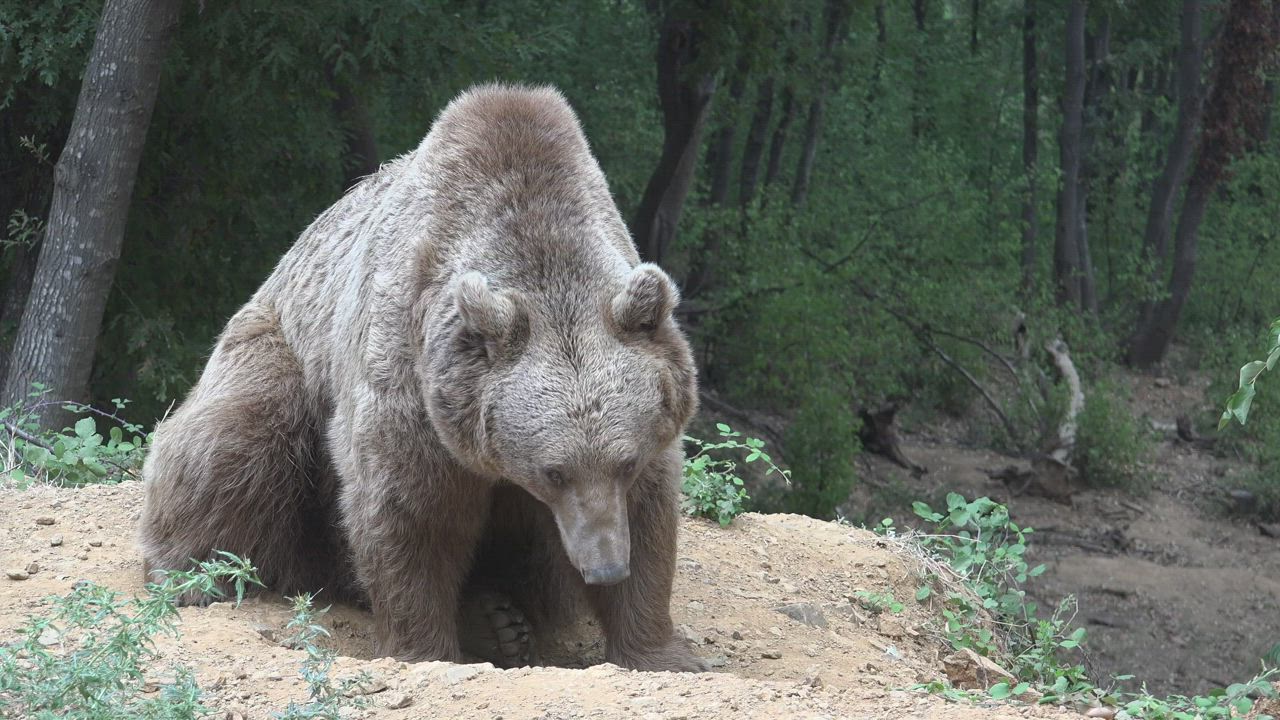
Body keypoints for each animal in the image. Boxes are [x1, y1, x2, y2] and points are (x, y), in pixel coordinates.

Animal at [136, 83, 705, 673]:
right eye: (553, 472)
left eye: (625, 462)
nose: (604, 566)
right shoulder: (412, 381)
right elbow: (410, 513)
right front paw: (424, 648)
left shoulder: (649, 412)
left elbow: (649, 518)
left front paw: (660, 650)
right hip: (277, 357)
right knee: (233, 443)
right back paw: (192, 571)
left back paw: (499, 621)